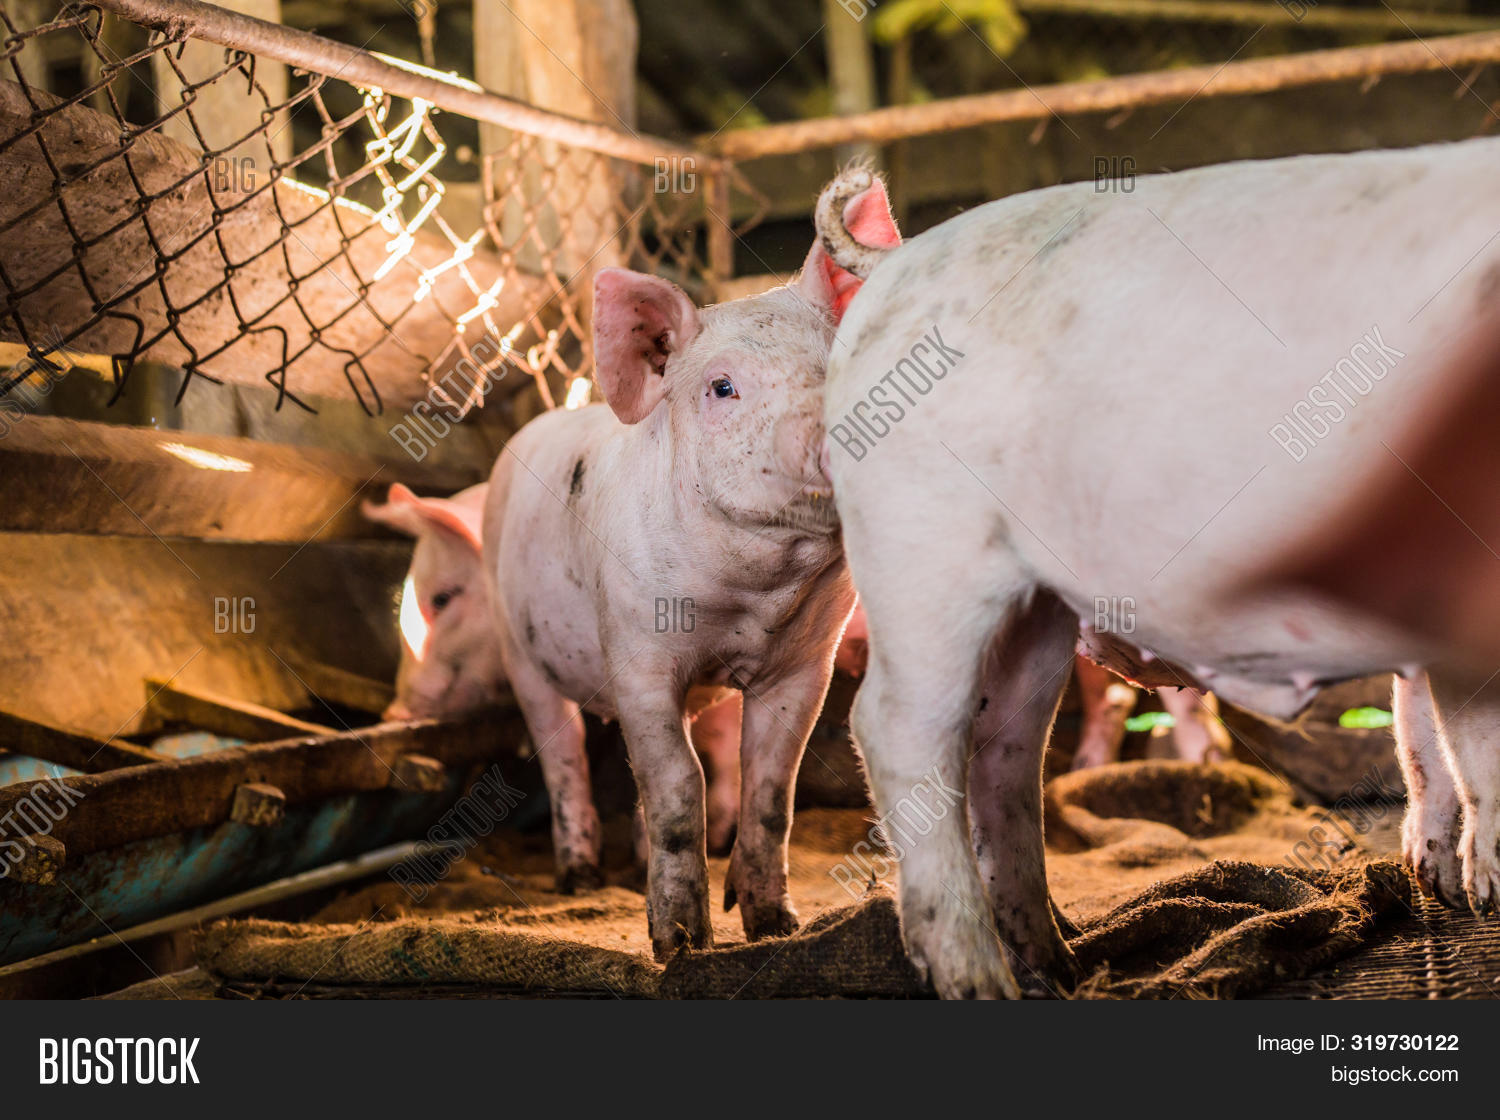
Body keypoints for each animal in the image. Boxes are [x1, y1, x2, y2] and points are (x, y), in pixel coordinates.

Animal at [480, 178, 901, 955]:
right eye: (722, 387)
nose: (831, 426)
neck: (754, 590)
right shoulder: (636, 652)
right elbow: (678, 785)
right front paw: (680, 945)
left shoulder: (806, 663)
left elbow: (770, 791)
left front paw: (775, 928)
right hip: (516, 645)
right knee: (564, 754)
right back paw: (579, 878)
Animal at [816, 141, 1500, 997]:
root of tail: (898, 262)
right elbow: (1472, 745)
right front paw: (1482, 890)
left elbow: (1428, 736)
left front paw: (1445, 883)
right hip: (922, 539)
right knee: (901, 730)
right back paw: (981, 978)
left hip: (1034, 602)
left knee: (1004, 748)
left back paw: (1063, 962)